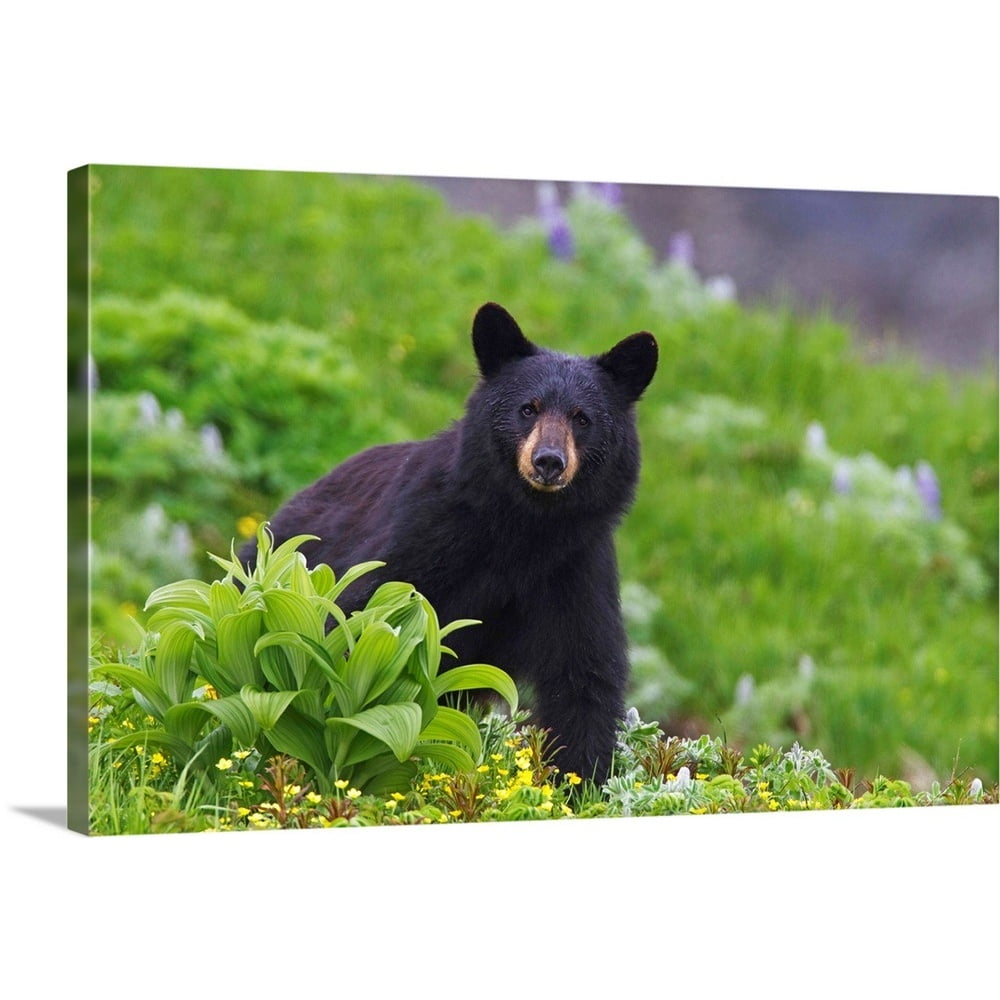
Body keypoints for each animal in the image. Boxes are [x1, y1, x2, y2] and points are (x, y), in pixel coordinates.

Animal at [242, 302, 657, 783]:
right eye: (528, 409)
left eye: (582, 418)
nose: (549, 461)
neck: (526, 528)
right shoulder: (428, 532)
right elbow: (360, 616)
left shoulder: (576, 564)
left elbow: (584, 670)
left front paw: (579, 780)